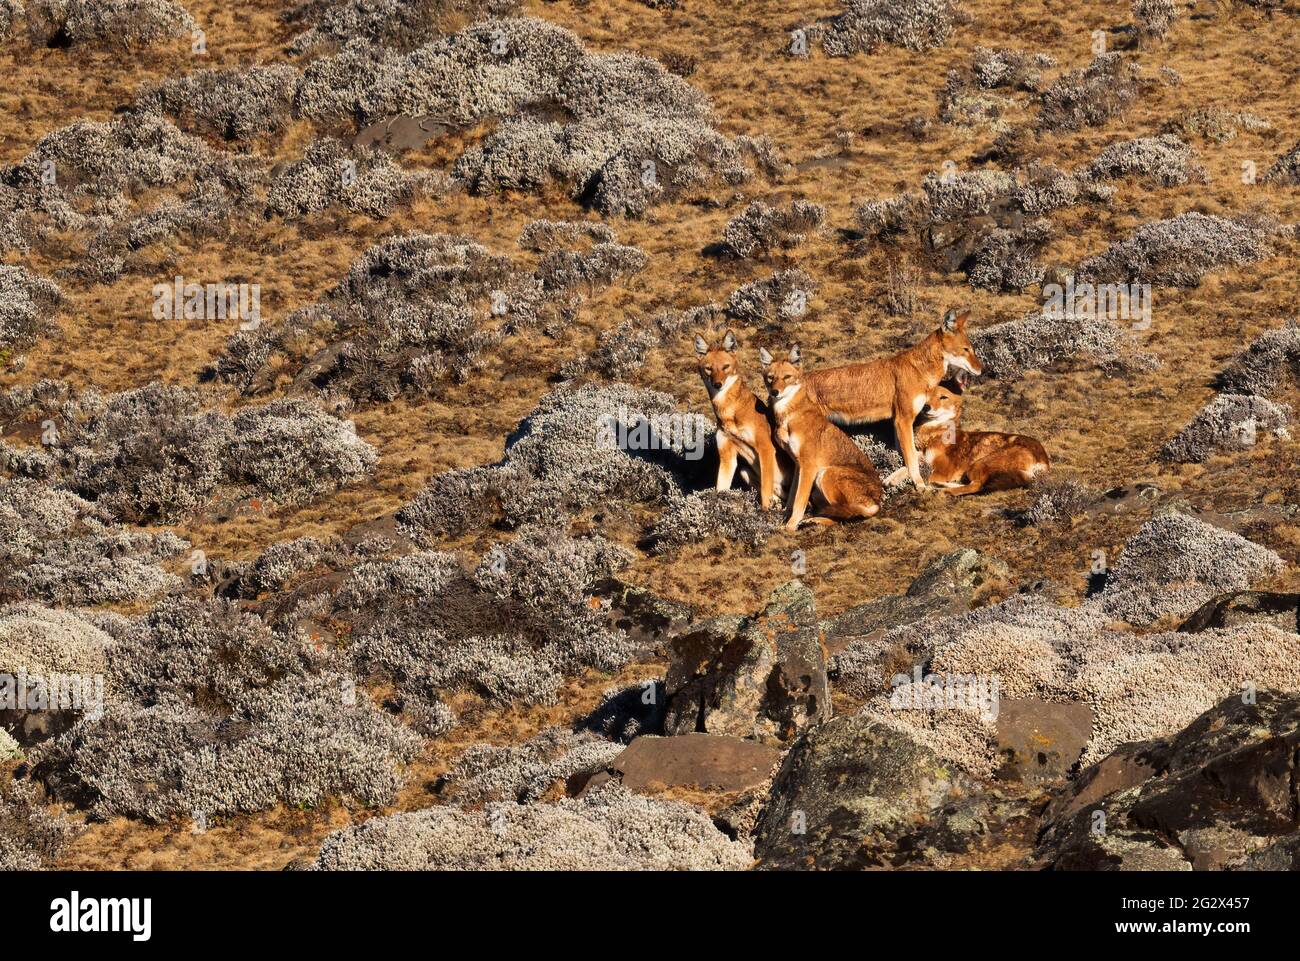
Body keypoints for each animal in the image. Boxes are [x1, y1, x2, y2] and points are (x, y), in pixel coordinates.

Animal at [695, 330, 787, 508]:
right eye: (709, 369)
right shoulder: (727, 456)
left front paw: (764, 512)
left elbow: (765, 492)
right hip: (744, 472)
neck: (729, 412)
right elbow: (720, 488)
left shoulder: (766, 449)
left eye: (725, 367)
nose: (717, 384)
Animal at [759, 344, 883, 532]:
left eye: (787, 377)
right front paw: (784, 521)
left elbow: (799, 502)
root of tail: (878, 502)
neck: (788, 417)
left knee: (846, 514)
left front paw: (790, 527)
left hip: (825, 474)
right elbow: (791, 500)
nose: (774, 392)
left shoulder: (808, 466)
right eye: (770, 378)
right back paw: (814, 520)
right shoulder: (799, 466)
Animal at [800, 308, 982, 491]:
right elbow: (912, 459)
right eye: (966, 349)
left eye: (972, 349)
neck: (918, 370)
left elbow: (908, 456)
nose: (981, 369)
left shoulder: (897, 421)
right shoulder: (904, 420)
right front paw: (920, 485)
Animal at [912, 385, 1050, 495]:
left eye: (943, 397)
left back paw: (941, 489)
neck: (931, 434)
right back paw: (941, 485)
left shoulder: (941, 471)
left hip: (978, 464)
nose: (926, 407)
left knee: (976, 486)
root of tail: (1043, 459)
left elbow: (928, 478)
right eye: (926, 397)